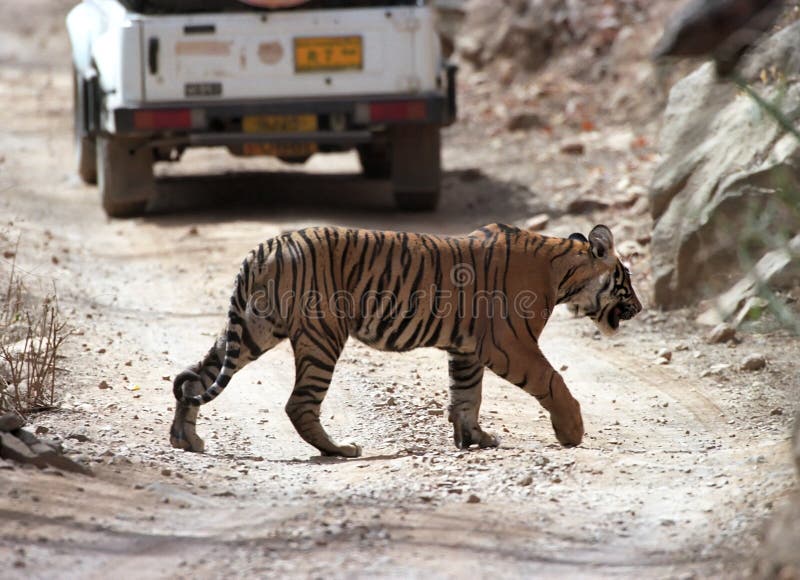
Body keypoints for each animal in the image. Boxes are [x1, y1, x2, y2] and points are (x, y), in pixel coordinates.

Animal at [170, 223, 642, 457]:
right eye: (627, 279)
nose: (639, 307)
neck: (563, 271)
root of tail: (265, 247)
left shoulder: (467, 349)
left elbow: (467, 396)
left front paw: (475, 439)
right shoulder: (511, 345)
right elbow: (552, 382)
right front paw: (572, 431)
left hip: (254, 328)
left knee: (192, 377)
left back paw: (185, 440)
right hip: (322, 334)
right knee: (298, 403)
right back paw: (340, 450)